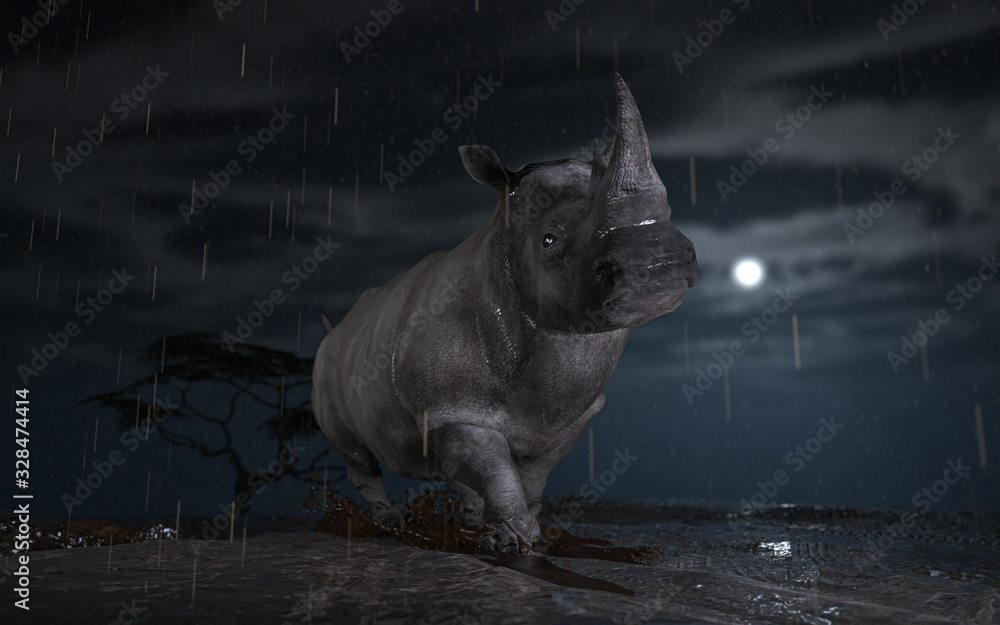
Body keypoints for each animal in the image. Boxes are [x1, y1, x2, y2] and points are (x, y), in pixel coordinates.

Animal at [312, 73, 697, 554]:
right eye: (549, 240)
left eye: (670, 211)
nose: (656, 263)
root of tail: (336, 330)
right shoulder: (451, 409)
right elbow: (497, 474)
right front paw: (516, 541)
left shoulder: (566, 422)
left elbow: (527, 480)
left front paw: (517, 536)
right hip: (326, 366)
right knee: (358, 457)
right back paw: (389, 524)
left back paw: (462, 524)